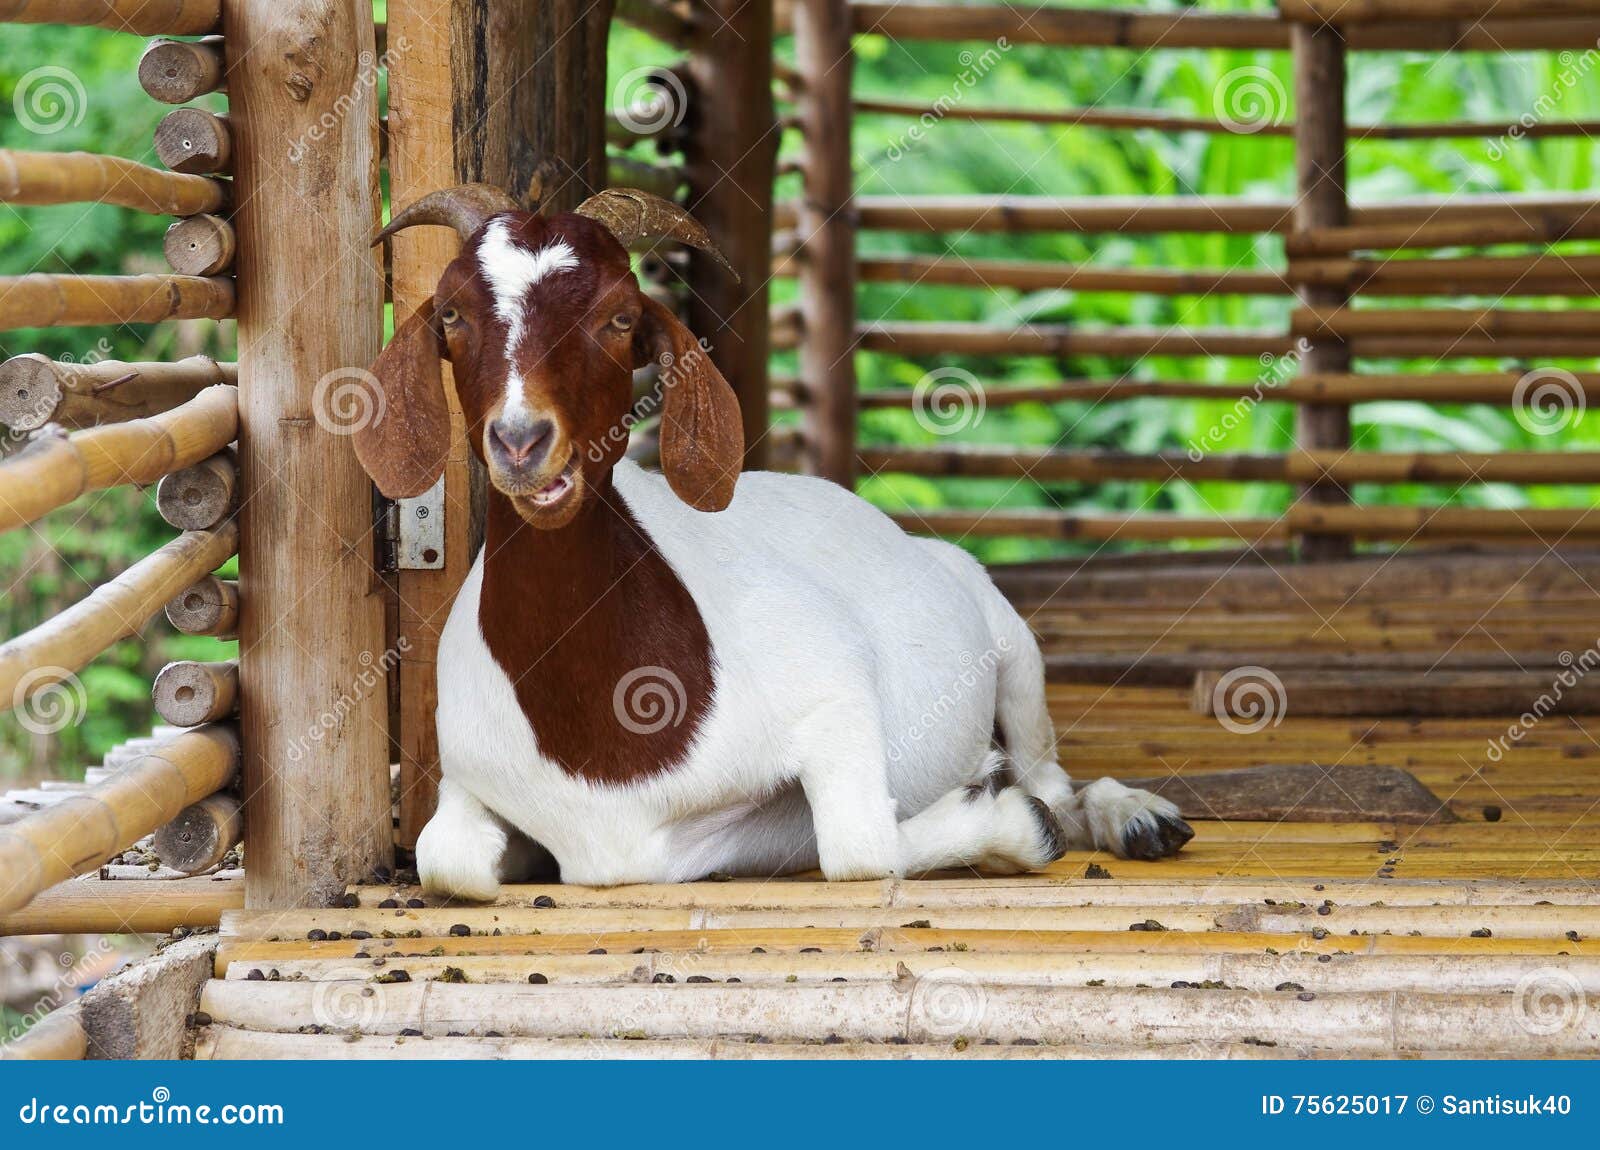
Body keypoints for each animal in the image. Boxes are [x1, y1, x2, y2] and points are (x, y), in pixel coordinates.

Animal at [356, 183, 1193, 897]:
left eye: (620, 318)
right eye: (453, 314)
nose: (521, 440)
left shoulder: (834, 695)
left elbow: (860, 845)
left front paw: (1013, 822)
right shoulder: (470, 776)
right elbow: (445, 858)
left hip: (1011, 641)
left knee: (1050, 774)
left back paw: (1132, 816)